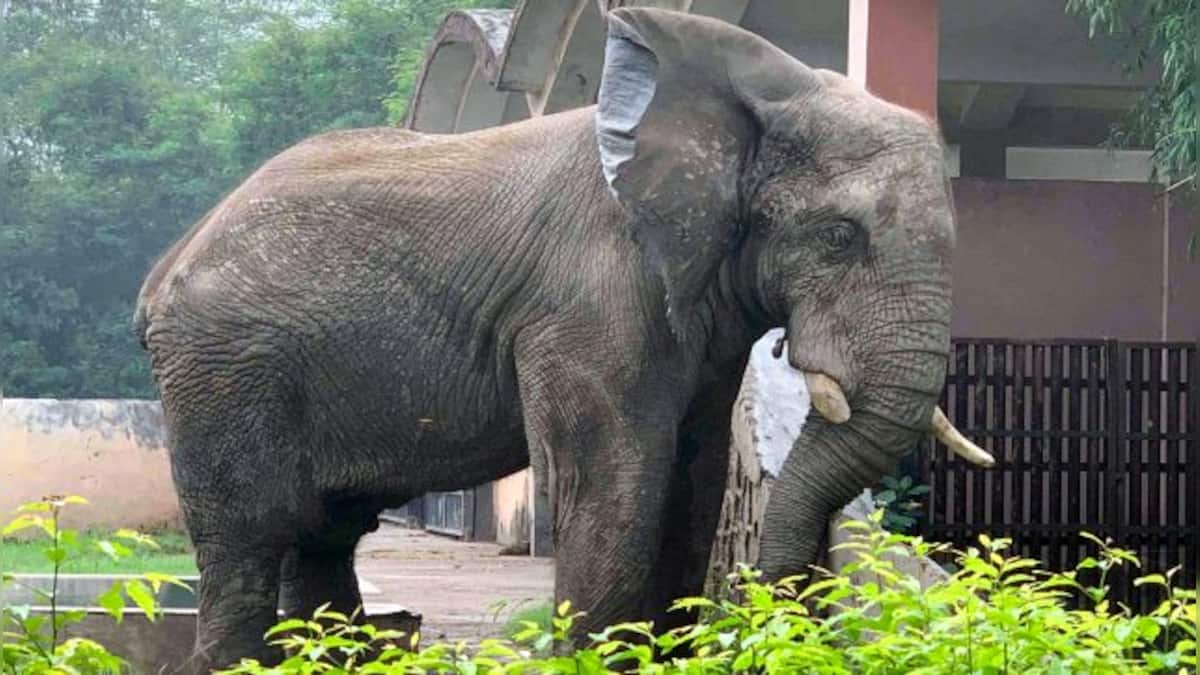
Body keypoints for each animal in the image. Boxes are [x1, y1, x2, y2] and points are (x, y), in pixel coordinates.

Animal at [134, 7, 992, 670]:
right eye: (840, 237)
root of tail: (168, 264)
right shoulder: (590, 297)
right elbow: (618, 482)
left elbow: (695, 479)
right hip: (223, 367)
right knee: (250, 535)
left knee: (324, 535)